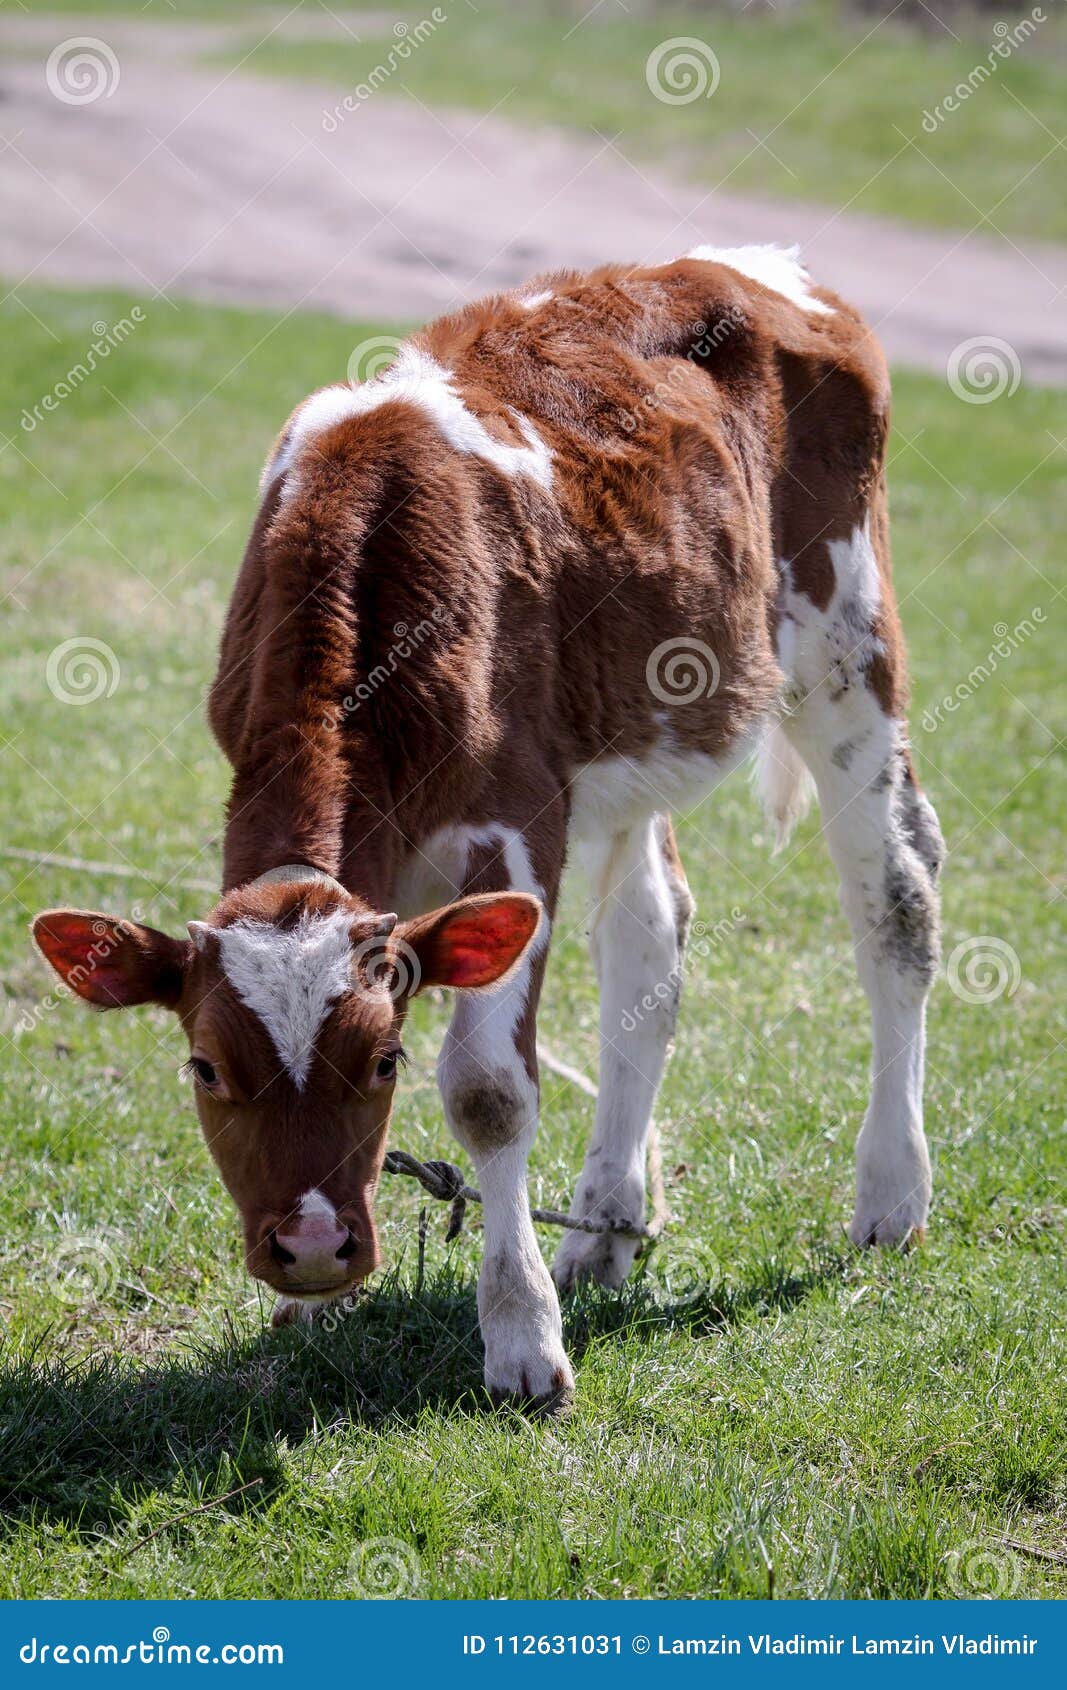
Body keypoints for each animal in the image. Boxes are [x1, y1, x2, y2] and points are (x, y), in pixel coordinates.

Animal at [32, 245, 943, 1415]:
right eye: (203, 1067)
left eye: (384, 1062)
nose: (314, 1247)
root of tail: (751, 264)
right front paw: (314, 1311)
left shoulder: (518, 818)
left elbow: (490, 1092)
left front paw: (521, 1338)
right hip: (634, 731)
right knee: (651, 946)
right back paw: (605, 1227)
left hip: (847, 641)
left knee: (895, 899)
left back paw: (890, 1193)